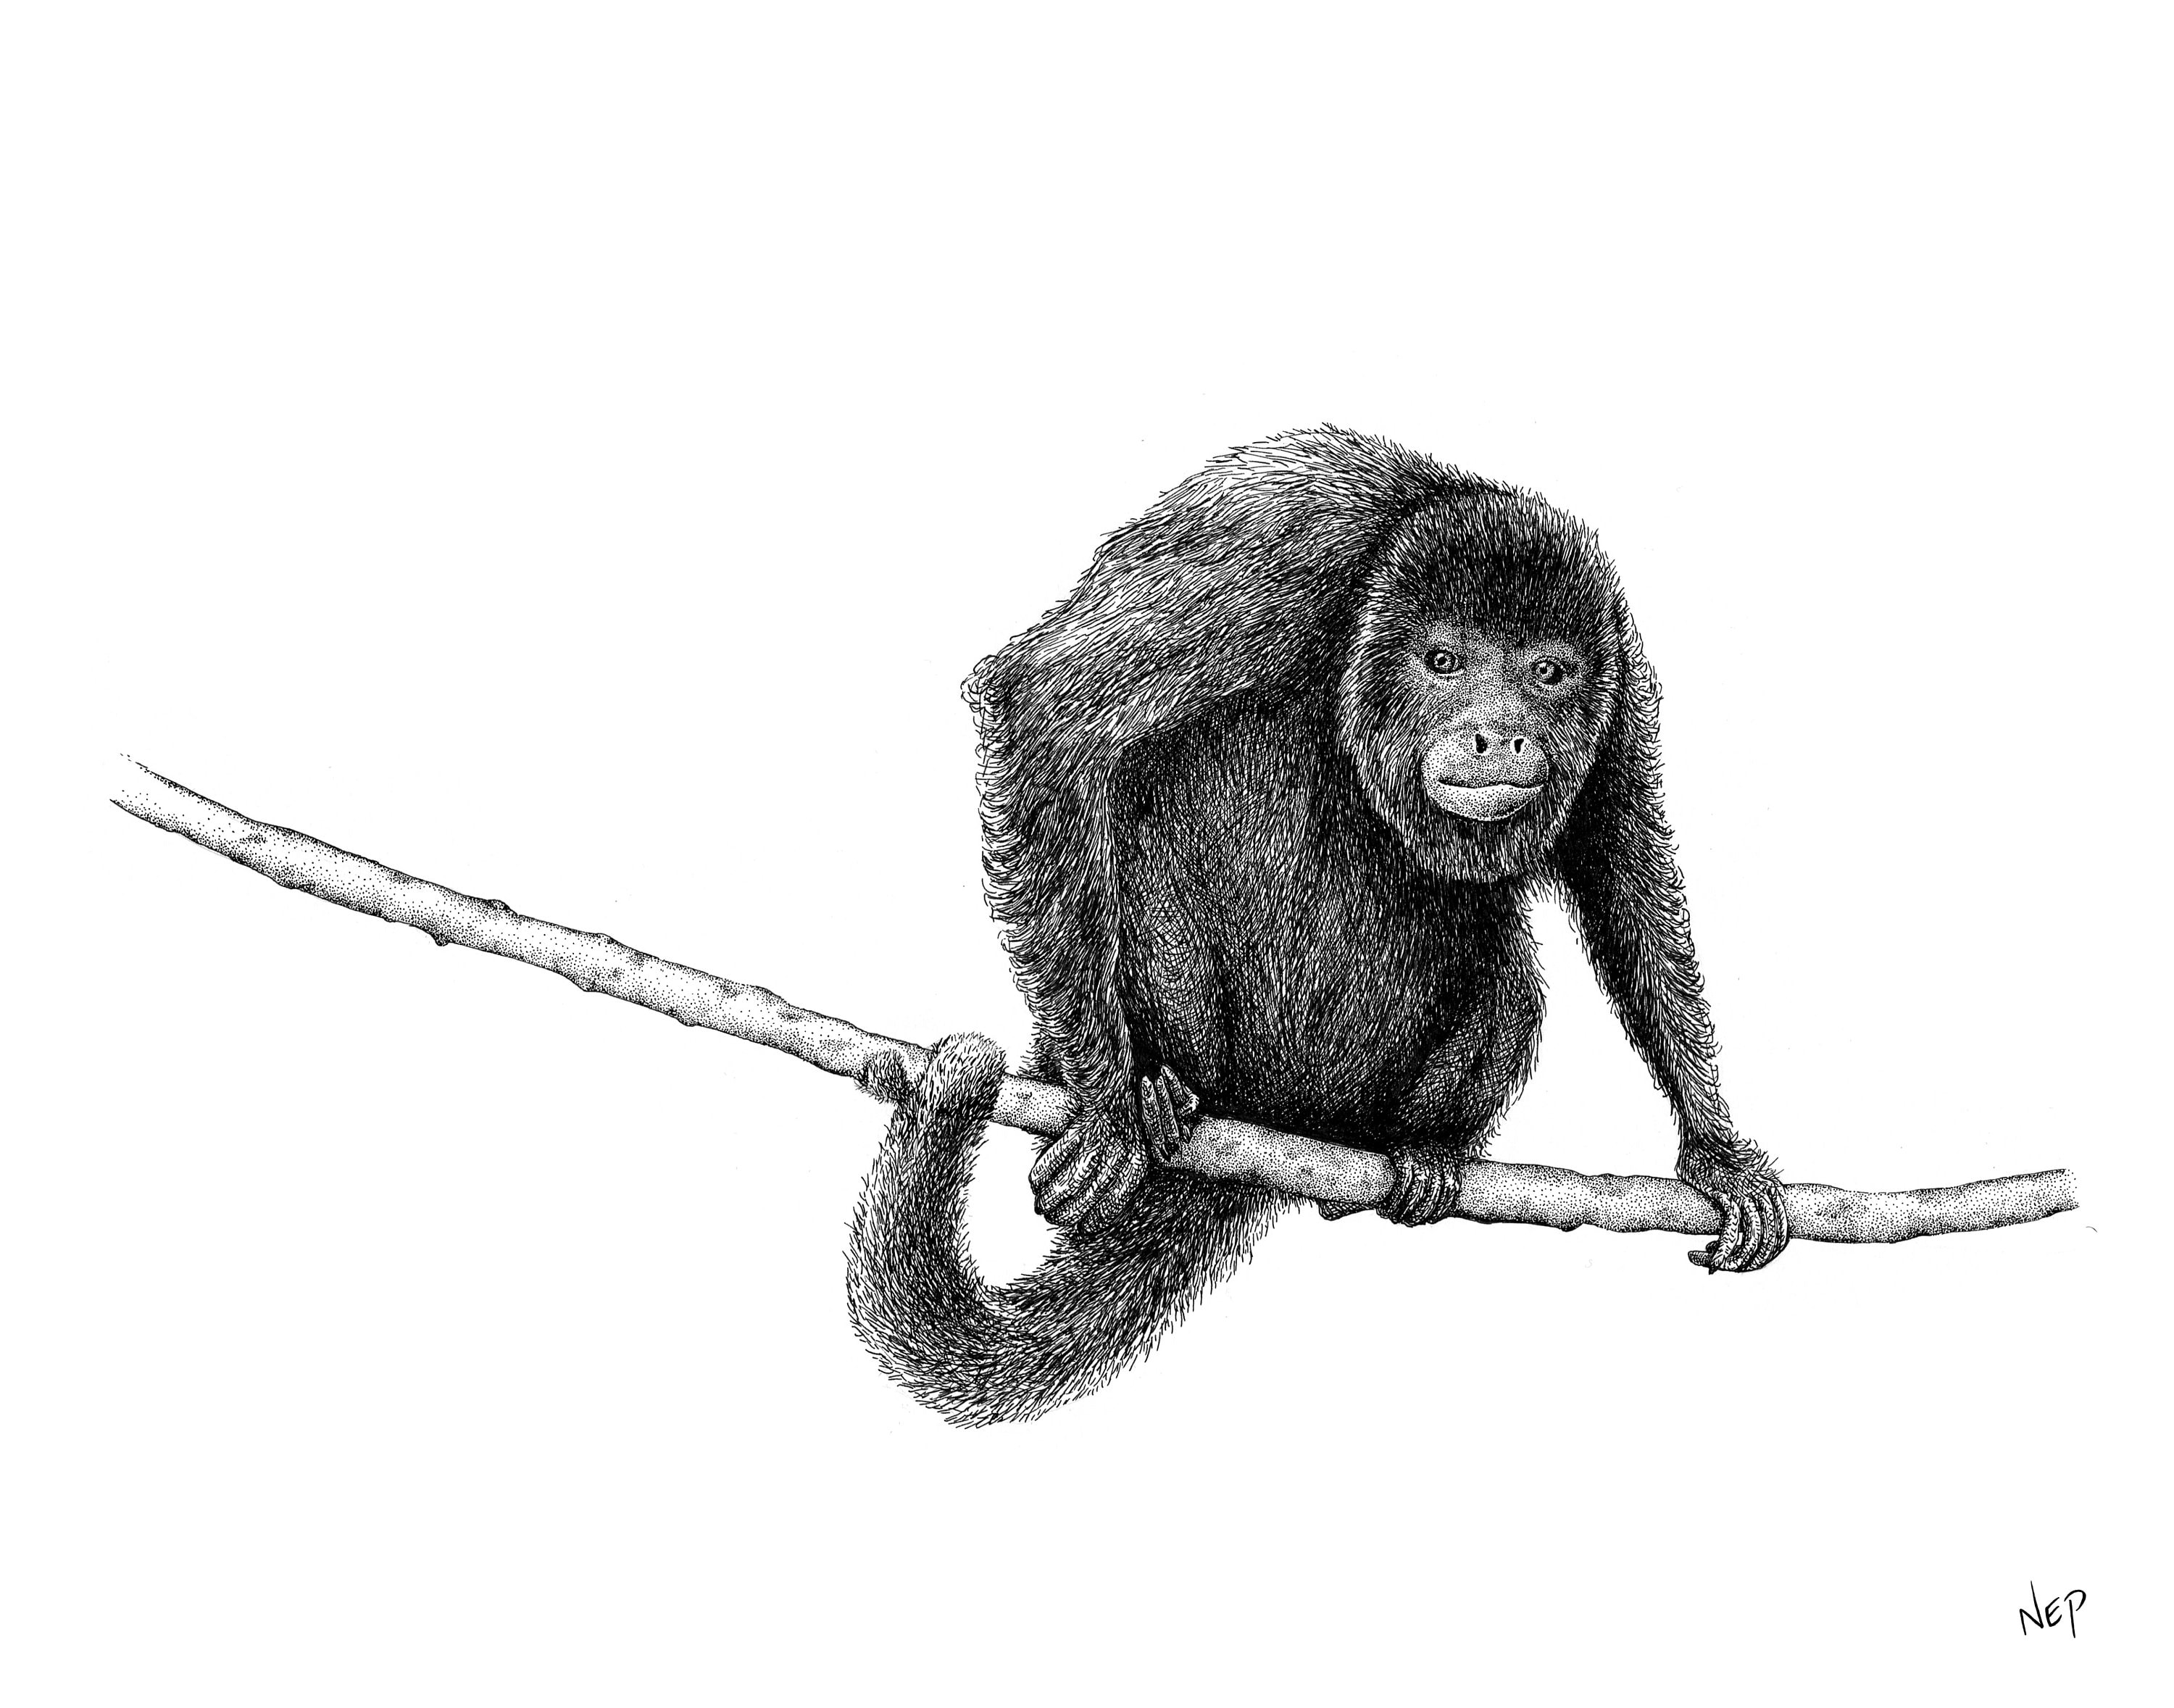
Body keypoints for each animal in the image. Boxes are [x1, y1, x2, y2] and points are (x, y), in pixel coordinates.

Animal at [845, 426, 1787, 1426]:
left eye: (1549, 672)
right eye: (1444, 662)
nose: (1502, 732)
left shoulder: (1622, 655)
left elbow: (1622, 867)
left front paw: (1715, 1151)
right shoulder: (1277, 551)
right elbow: (1042, 711)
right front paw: (1104, 1102)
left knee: (1510, 975)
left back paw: (1418, 1147)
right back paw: (1158, 1088)